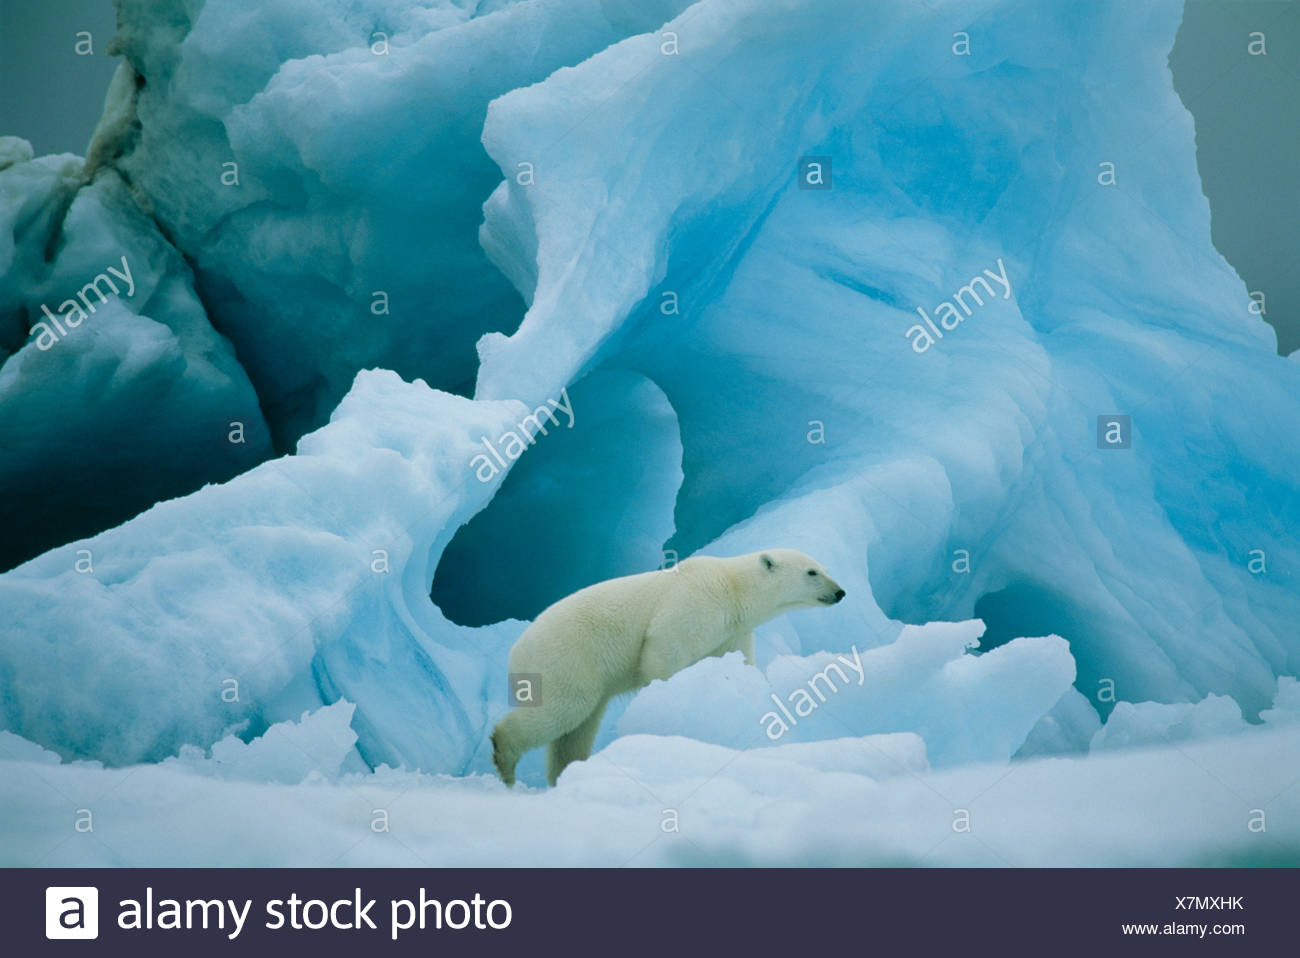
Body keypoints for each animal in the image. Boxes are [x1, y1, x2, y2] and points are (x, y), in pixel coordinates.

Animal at [490, 548, 845, 786]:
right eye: (812, 572)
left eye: (825, 568)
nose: (840, 592)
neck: (732, 587)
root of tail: (514, 654)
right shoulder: (696, 602)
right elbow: (664, 646)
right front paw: (666, 698)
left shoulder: (732, 629)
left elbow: (734, 658)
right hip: (565, 660)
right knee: (562, 711)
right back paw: (505, 760)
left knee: (575, 732)